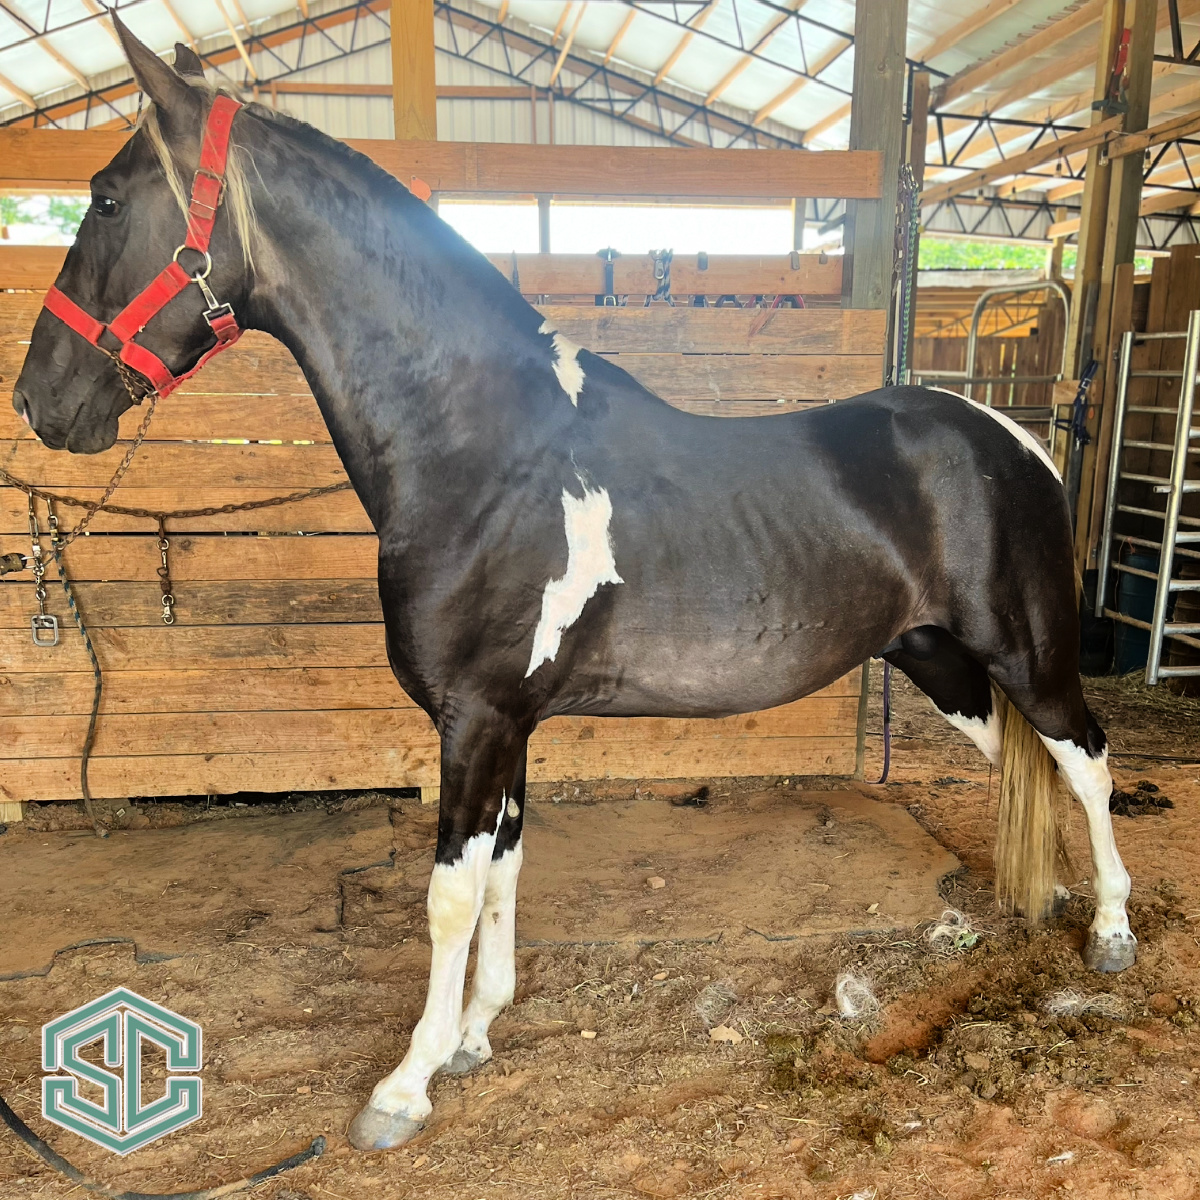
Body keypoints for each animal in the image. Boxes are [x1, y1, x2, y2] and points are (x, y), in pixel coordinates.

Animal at [12, 20, 1136, 1153]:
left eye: (106, 200)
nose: (36, 400)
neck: (491, 454)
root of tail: (1013, 439)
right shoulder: (509, 722)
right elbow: (503, 870)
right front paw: (475, 1035)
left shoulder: (474, 717)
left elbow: (449, 896)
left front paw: (405, 1086)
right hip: (939, 664)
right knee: (1028, 767)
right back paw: (1042, 901)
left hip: (1027, 654)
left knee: (1086, 760)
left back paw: (1113, 931)